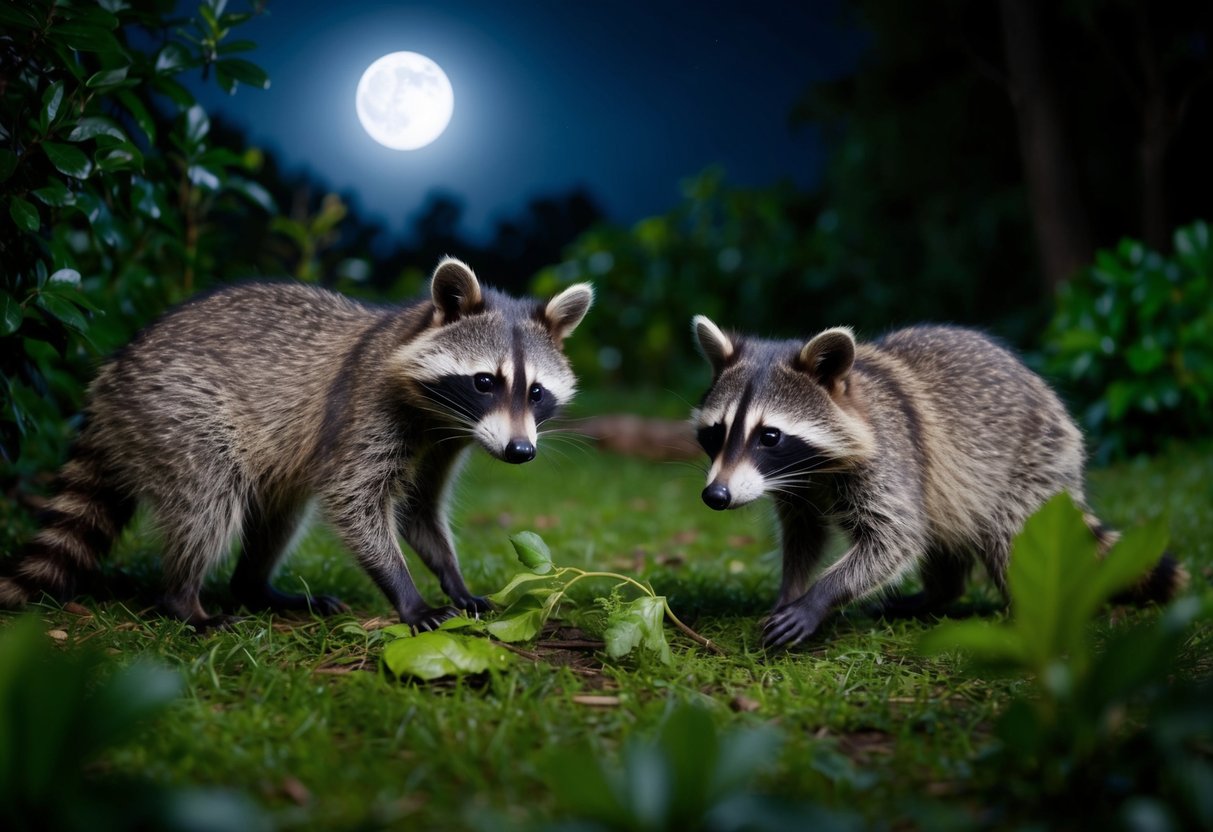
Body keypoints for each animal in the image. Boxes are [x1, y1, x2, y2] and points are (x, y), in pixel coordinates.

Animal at [0, 258, 593, 631]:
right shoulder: (365, 409)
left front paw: (452, 578)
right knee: (209, 500)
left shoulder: (446, 442)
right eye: (485, 381)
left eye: (536, 392)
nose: (520, 452)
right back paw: (184, 601)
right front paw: (407, 594)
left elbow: (420, 510)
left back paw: (254, 586)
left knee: (278, 515)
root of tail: (110, 381)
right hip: (175, 410)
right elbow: (355, 501)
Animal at [690, 317, 1186, 648]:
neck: (812, 468)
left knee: (1012, 537)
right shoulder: (798, 490)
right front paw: (790, 591)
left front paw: (820, 597)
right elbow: (804, 537)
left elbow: (895, 537)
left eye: (769, 436)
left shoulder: (893, 459)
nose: (715, 496)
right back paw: (936, 595)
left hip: (1035, 464)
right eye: (716, 433)